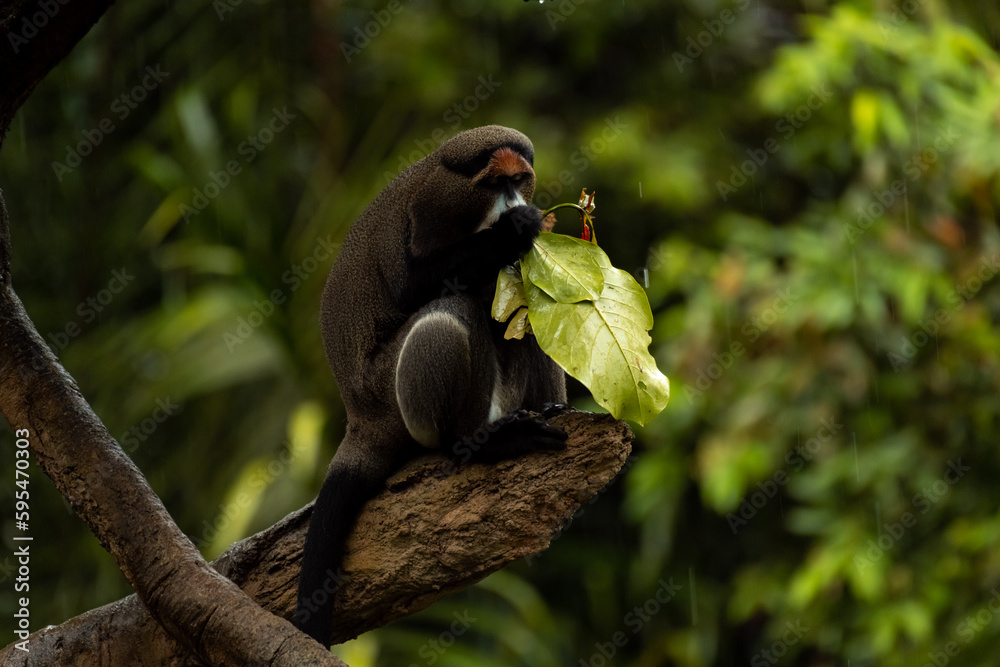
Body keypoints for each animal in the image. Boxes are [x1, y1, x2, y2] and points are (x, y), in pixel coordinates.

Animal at [294, 125, 568, 648]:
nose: (511, 204)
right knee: (454, 309)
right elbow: (414, 288)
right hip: (390, 394)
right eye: (492, 184)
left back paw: (554, 409)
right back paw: (477, 443)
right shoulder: (430, 207)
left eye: (518, 180)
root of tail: (360, 419)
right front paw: (514, 231)